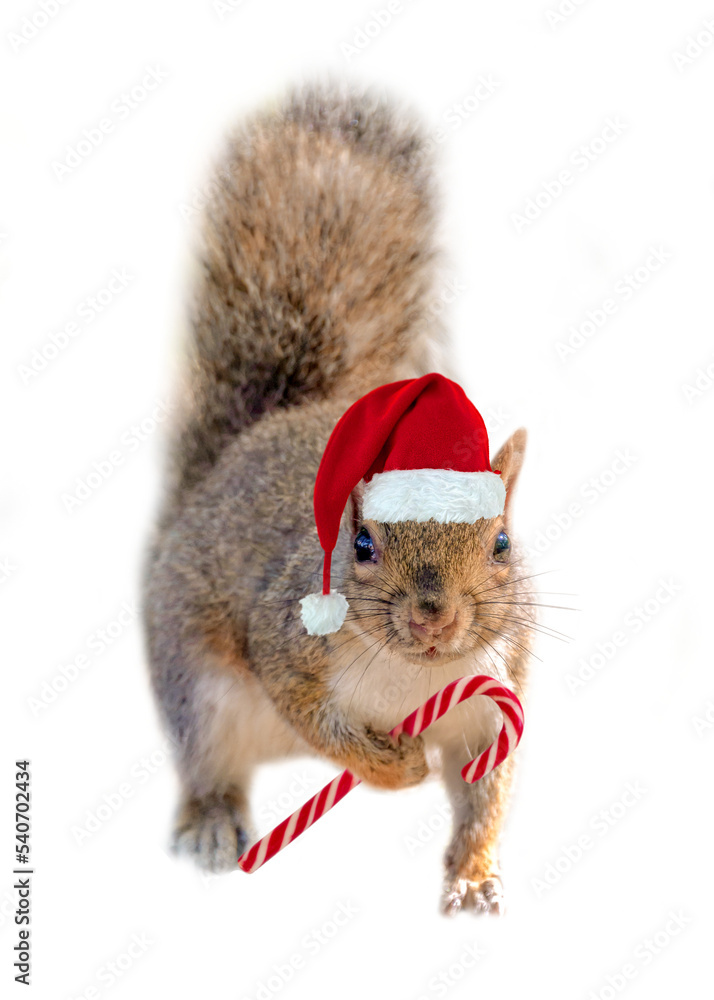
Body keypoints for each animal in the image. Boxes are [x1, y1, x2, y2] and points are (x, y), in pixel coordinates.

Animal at [142, 84, 534, 916]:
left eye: (502, 544)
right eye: (362, 544)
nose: (435, 617)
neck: (413, 678)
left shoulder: (495, 697)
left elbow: (487, 794)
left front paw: (474, 875)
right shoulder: (285, 648)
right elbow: (326, 727)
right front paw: (401, 766)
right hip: (200, 686)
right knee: (206, 758)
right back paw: (212, 821)